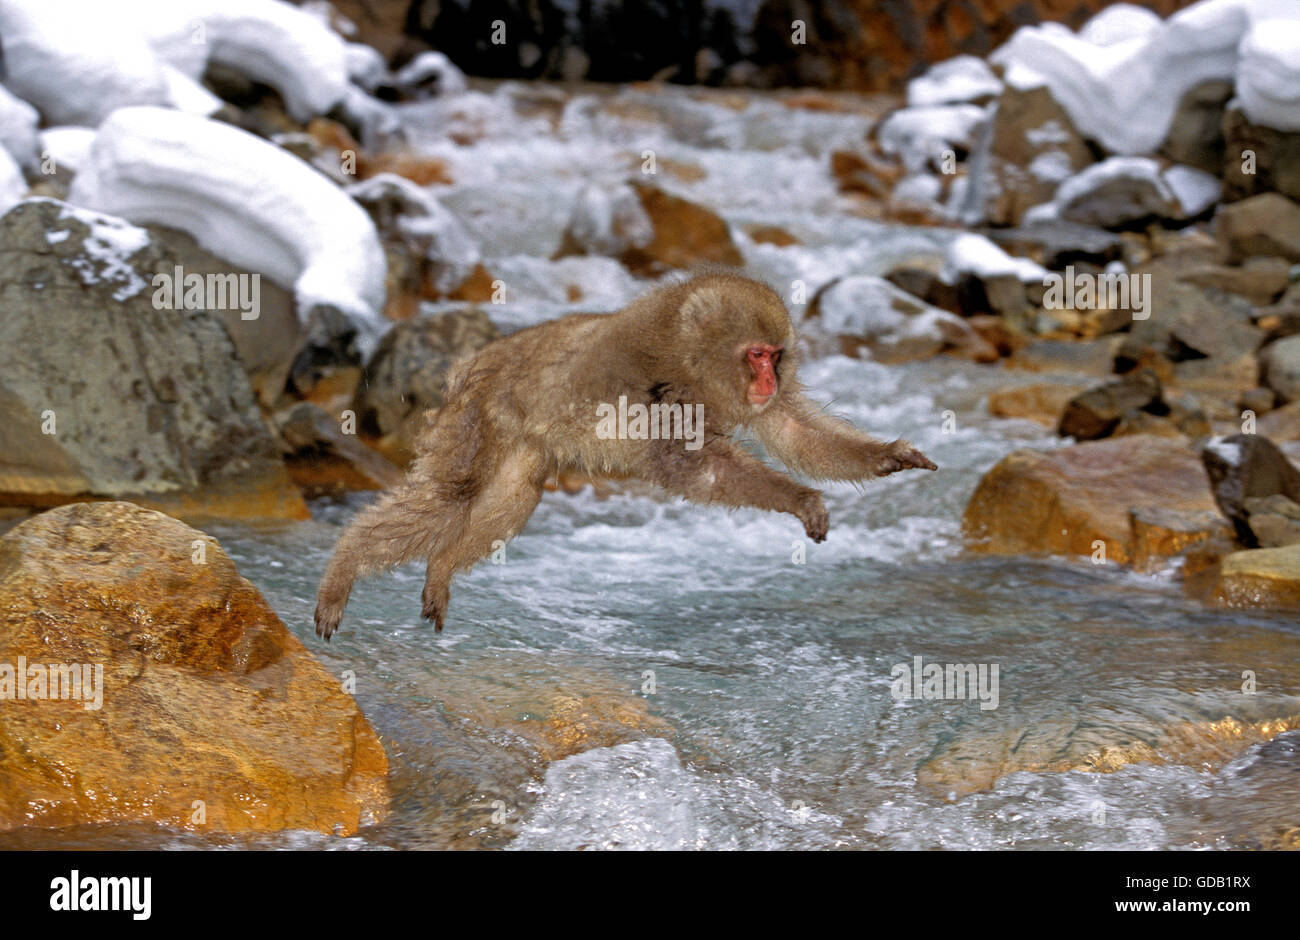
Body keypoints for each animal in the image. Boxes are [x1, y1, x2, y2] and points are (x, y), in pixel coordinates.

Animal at [314, 272, 936, 640]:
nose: (768, 380)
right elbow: (695, 469)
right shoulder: (650, 394)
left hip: (516, 437)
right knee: (451, 493)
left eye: (776, 357)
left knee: (516, 495)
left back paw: (441, 568)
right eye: (756, 354)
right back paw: (344, 566)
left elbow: (792, 432)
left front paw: (889, 455)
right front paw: (804, 500)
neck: (686, 355)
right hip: (477, 414)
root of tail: (475, 362)